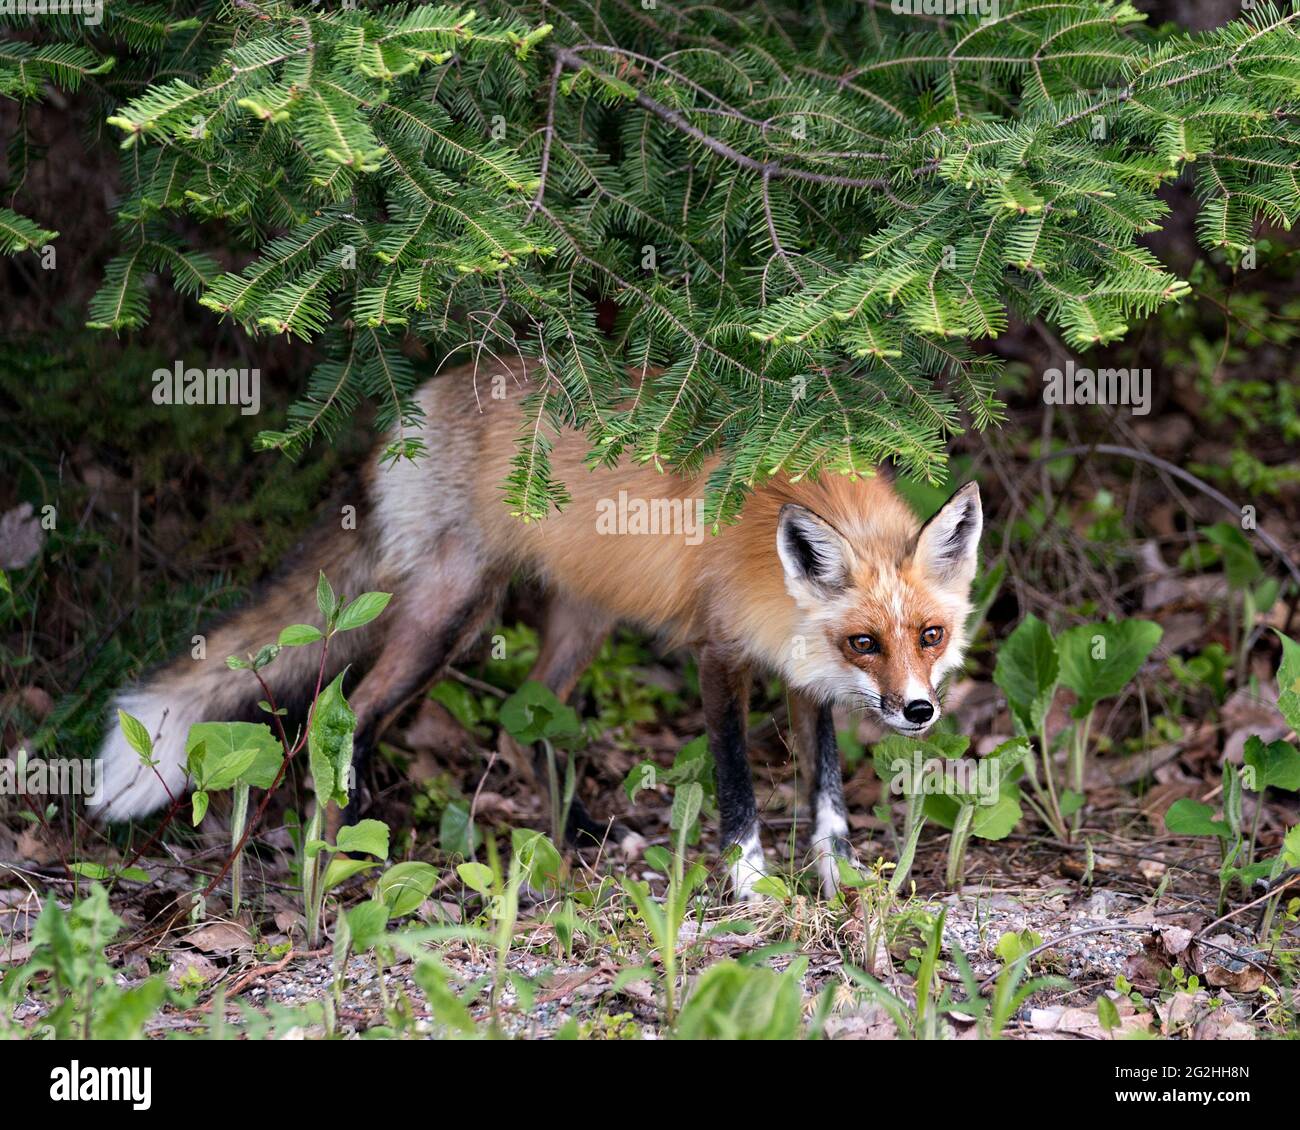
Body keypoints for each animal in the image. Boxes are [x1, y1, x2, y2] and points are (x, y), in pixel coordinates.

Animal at [91, 357, 983, 899]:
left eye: (929, 635)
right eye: (865, 641)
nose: (918, 711)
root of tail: (422, 401)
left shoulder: (804, 677)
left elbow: (825, 791)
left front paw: (839, 882)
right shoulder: (719, 654)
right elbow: (737, 785)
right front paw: (750, 884)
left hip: (582, 616)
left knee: (528, 715)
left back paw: (576, 832)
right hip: (452, 613)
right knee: (339, 716)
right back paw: (333, 855)